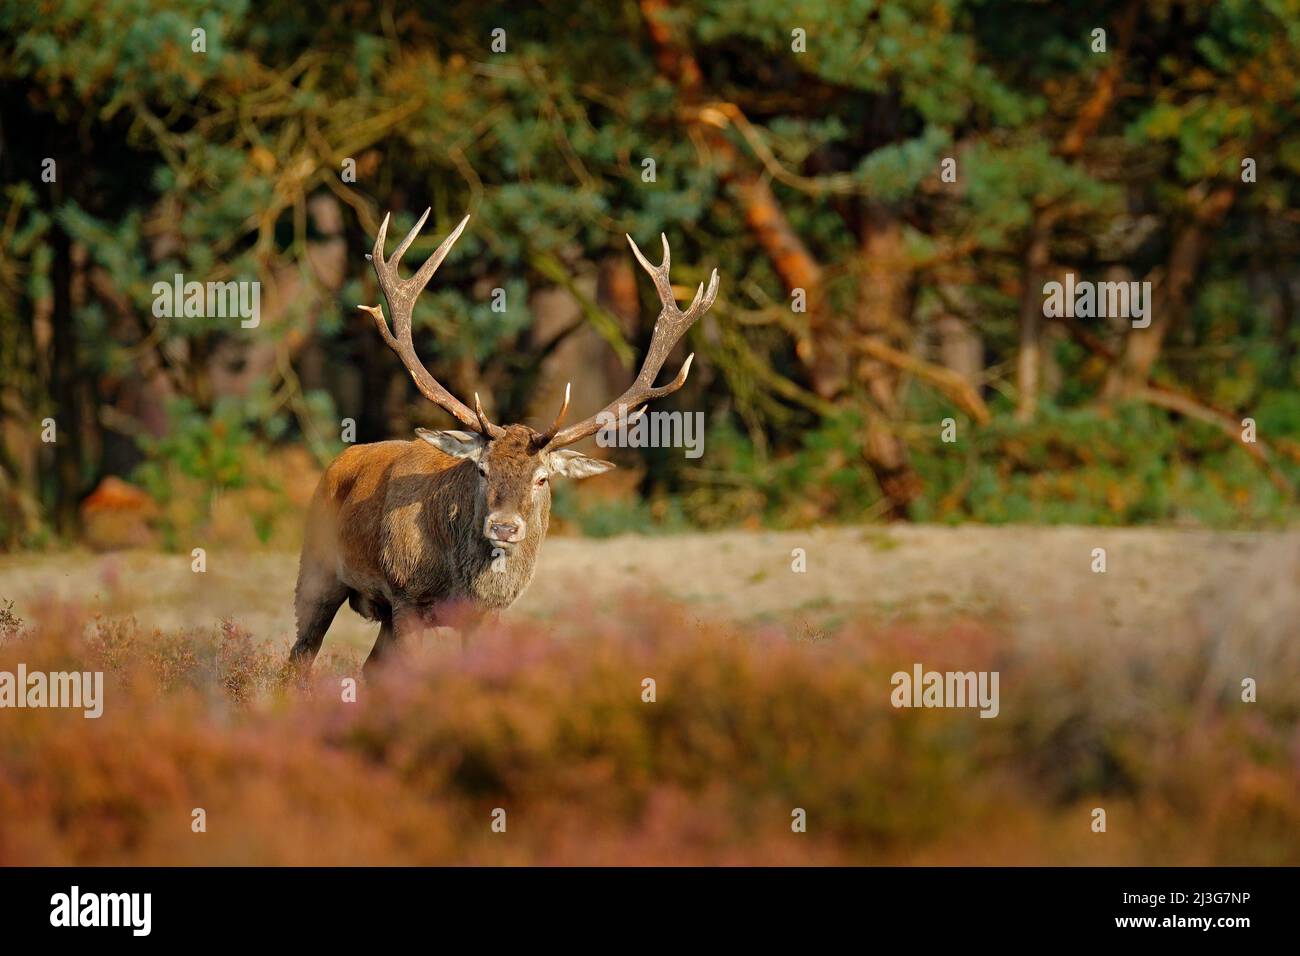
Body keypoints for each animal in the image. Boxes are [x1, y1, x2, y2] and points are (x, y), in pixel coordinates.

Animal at [288, 209, 719, 674]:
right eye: (481, 469)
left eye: (543, 478)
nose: (504, 527)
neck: (460, 583)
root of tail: (338, 462)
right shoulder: (406, 596)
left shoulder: (487, 615)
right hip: (316, 571)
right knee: (299, 657)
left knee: (367, 669)